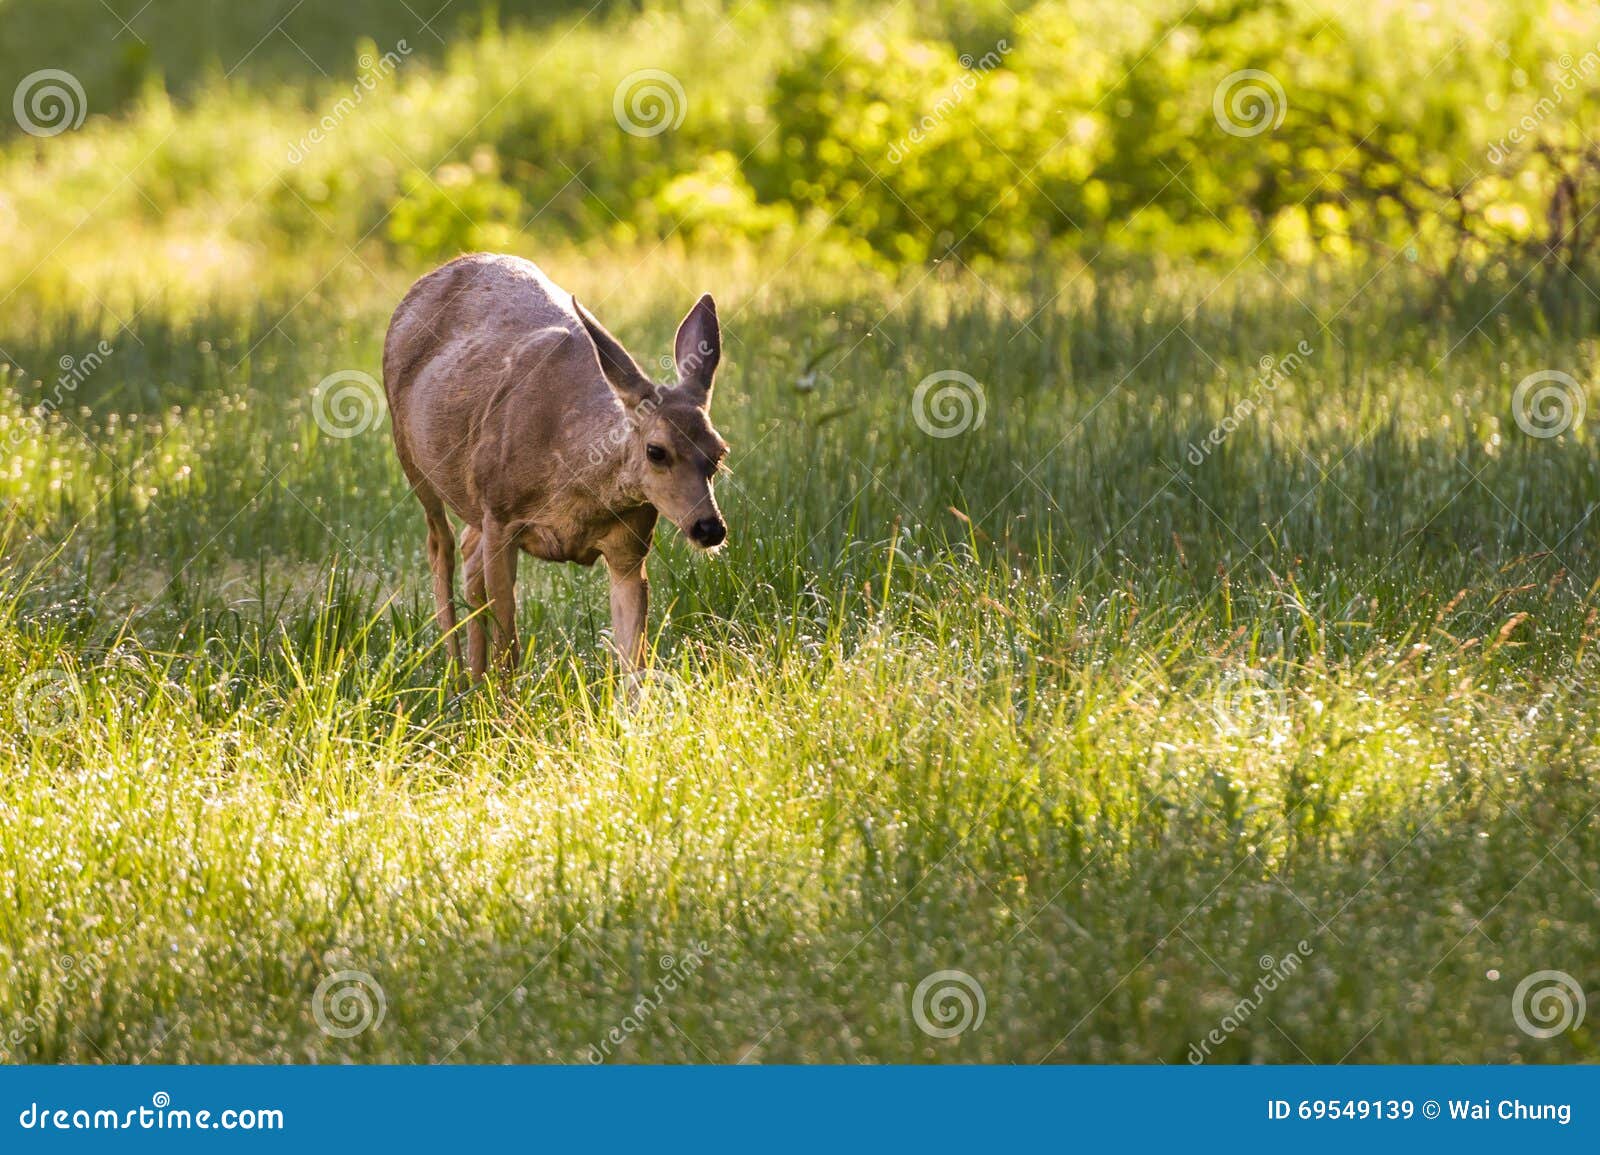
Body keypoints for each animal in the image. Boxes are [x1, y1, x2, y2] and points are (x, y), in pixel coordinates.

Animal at [382, 253, 729, 681]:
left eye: (719, 453)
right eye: (656, 451)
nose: (709, 528)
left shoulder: (630, 545)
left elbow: (635, 660)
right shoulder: (501, 515)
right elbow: (508, 648)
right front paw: (503, 699)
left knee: (467, 551)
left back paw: (474, 680)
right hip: (412, 455)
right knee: (440, 545)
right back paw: (456, 677)